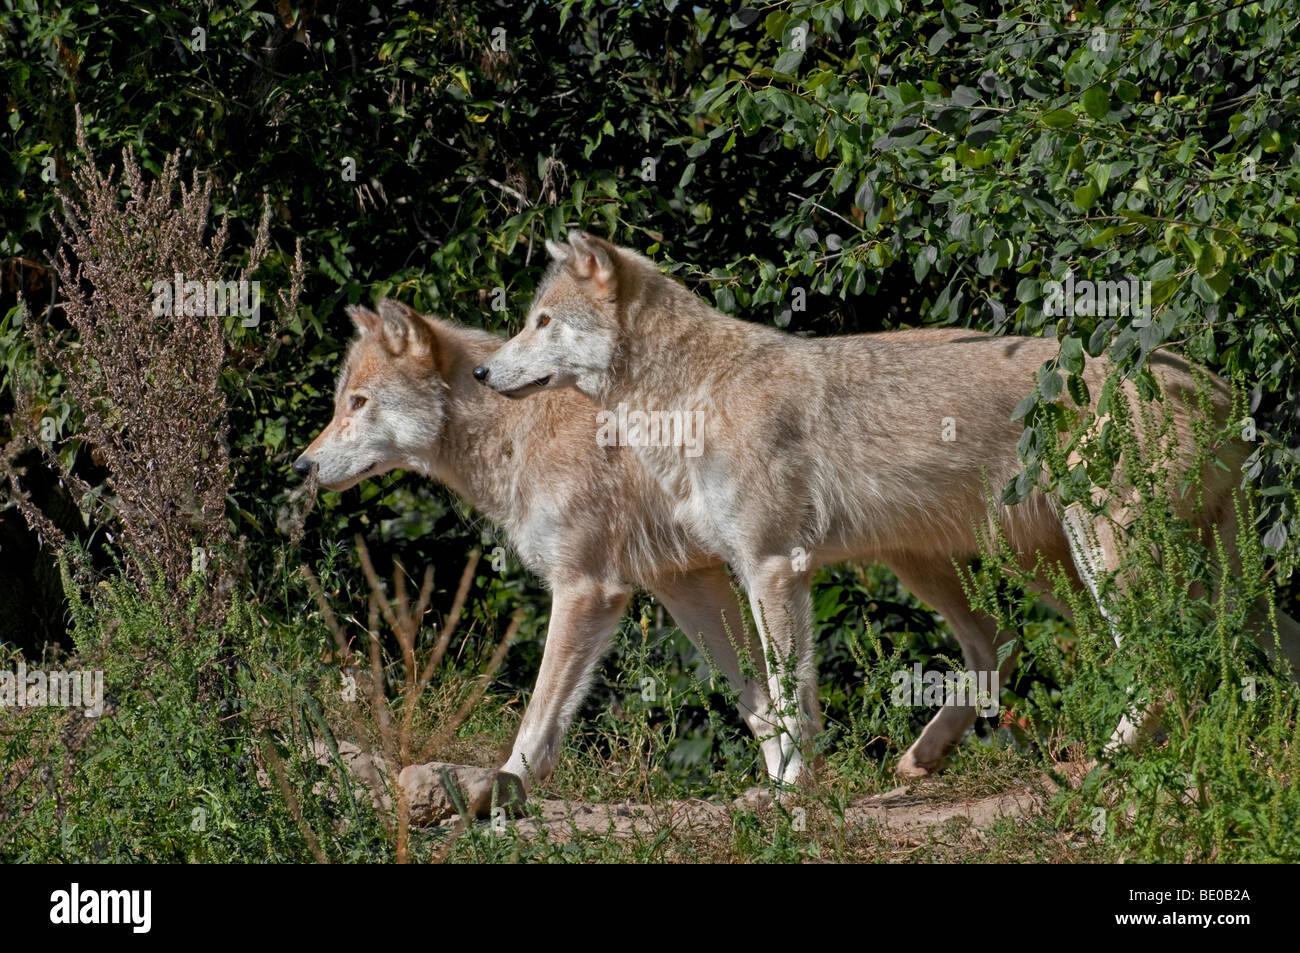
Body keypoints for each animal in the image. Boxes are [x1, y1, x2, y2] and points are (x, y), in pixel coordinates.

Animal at [294, 300, 786, 799]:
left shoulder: (585, 589)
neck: (518, 433)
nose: (301, 466)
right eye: (340, 403)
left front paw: (509, 782)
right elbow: (758, 702)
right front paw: (783, 790)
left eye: (358, 402)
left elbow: (539, 715)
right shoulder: (685, 581)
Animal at [474, 230, 1300, 784]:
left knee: (1160, 670)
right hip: (994, 567)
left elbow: (788, 702)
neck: (689, 395)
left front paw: (790, 792)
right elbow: (775, 701)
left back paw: (1099, 764)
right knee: (1017, 648)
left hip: (1101, 563)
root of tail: (1218, 388)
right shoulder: (750, 571)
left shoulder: (774, 567)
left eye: (541, 321)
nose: (481, 373)